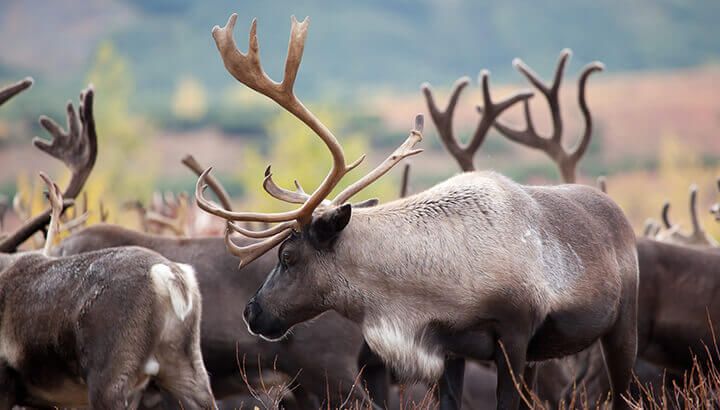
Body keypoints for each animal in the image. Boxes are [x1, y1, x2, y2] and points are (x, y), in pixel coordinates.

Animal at [192, 13, 639, 410]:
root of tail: (619, 213)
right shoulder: (450, 348)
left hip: (620, 329)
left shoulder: (514, 337)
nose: (251, 311)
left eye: (287, 255)